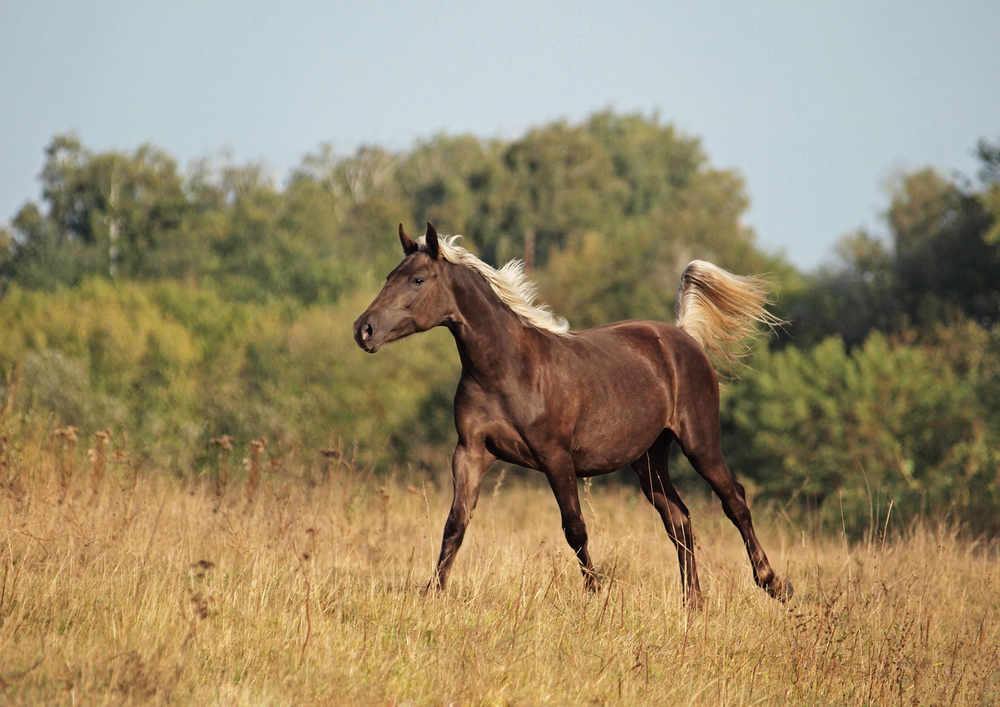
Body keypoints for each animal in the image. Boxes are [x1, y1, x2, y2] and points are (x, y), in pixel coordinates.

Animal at [353, 222, 792, 606]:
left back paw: (773, 584)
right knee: (679, 520)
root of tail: (683, 336)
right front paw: (433, 593)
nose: (364, 329)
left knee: (734, 501)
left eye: (418, 280)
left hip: (699, 443)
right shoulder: (471, 452)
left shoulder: (556, 457)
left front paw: (596, 593)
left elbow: (575, 528)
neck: (508, 370)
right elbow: (455, 523)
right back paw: (693, 603)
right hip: (649, 459)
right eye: (390, 275)